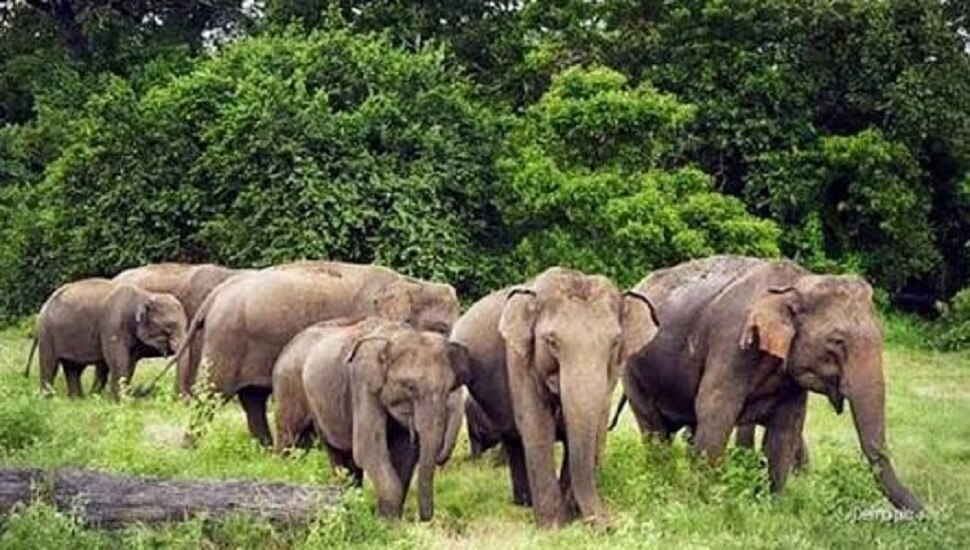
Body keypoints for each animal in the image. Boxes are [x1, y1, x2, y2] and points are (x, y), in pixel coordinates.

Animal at [25, 279, 187, 398]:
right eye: (170, 326)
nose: (142, 390)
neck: (145, 295)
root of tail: (43, 306)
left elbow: (130, 363)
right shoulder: (112, 326)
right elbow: (119, 360)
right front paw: (122, 401)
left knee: (74, 367)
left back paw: (77, 399)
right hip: (47, 333)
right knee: (50, 364)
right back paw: (48, 398)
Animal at [175, 261, 460, 446]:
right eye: (442, 328)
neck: (410, 283)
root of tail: (215, 295)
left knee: (253, 398)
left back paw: (264, 450)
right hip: (227, 340)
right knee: (212, 394)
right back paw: (191, 448)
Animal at [273, 317, 469, 520]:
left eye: (448, 389)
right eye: (410, 387)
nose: (423, 518)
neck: (394, 336)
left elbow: (406, 453)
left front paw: (387, 519)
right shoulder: (363, 384)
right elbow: (369, 449)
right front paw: (386, 522)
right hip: (288, 385)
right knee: (291, 440)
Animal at [451, 267, 660, 528]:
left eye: (615, 342)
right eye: (551, 341)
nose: (607, 527)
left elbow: (592, 430)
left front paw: (570, 517)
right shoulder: (519, 359)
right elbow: (538, 428)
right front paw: (553, 527)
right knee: (514, 439)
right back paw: (524, 504)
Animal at [620, 255, 922, 511]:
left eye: (881, 336)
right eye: (837, 342)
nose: (926, 513)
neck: (798, 284)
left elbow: (786, 428)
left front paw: (771, 507)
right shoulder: (732, 344)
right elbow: (716, 411)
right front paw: (704, 504)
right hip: (633, 371)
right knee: (655, 431)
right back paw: (659, 484)